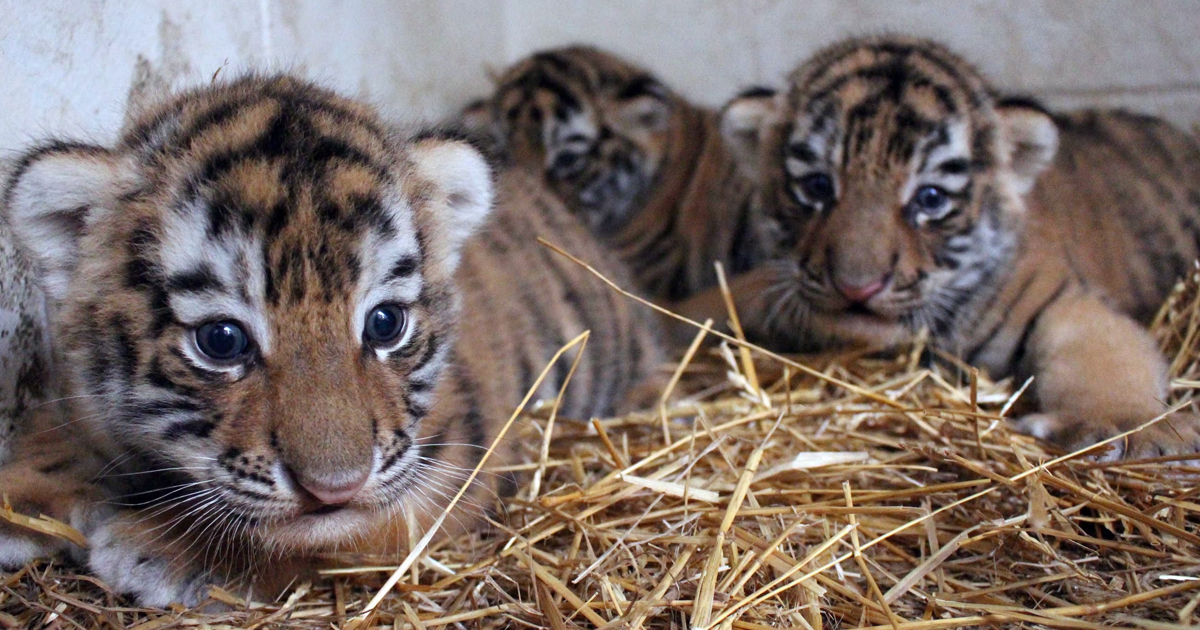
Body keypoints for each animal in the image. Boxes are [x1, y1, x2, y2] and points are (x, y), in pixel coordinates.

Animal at [0, 73, 661, 606]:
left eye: (385, 324)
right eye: (221, 339)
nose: (333, 487)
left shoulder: (450, 463)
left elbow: (321, 533)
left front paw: (160, 548)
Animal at [685, 35, 1200, 459]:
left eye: (929, 198)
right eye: (816, 187)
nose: (857, 288)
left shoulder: (1065, 301)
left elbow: (1104, 356)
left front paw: (1124, 429)